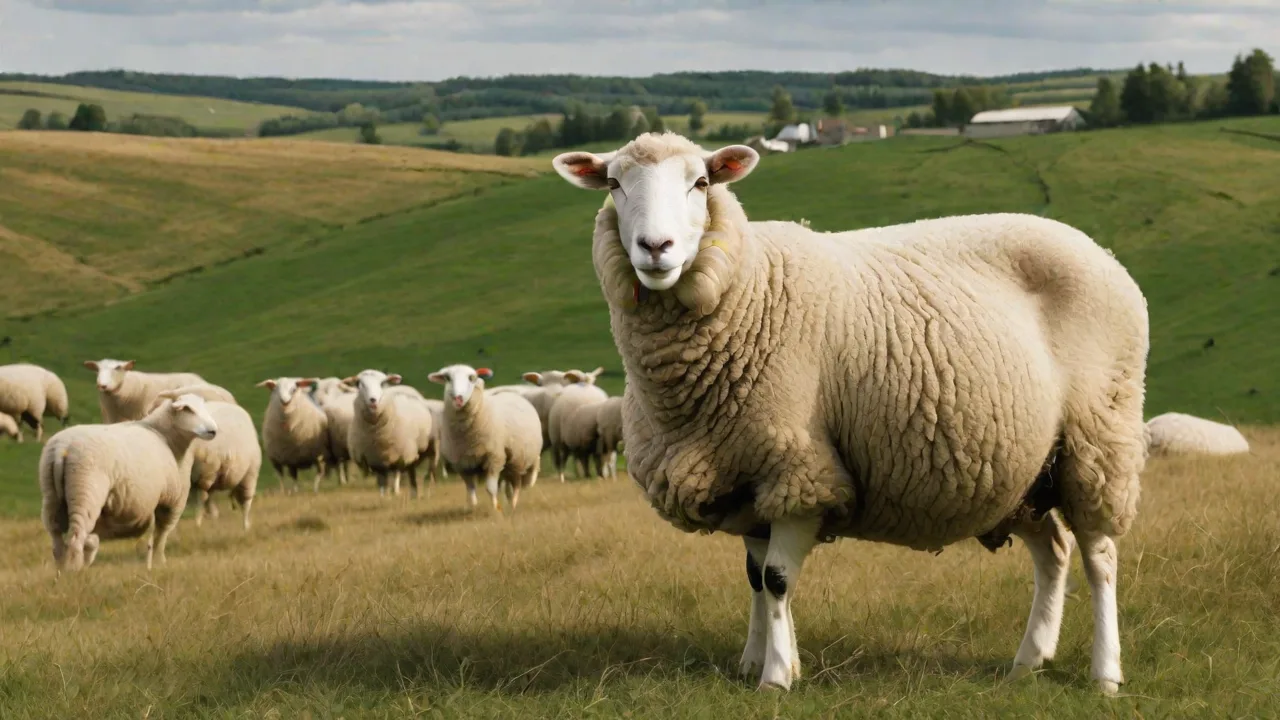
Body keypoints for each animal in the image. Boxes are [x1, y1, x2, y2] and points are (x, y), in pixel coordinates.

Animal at [39, 392, 219, 571]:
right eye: (187, 409)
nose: (213, 431)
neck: (163, 436)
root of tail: (62, 448)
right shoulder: (166, 502)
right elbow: (158, 538)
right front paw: (158, 564)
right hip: (86, 491)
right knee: (76, 537)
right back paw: (76, 571)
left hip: (51, 495)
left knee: (56, 540)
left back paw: (61, 570)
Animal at [150, 388, 261, 531]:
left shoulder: (204, 473)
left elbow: (200, 498)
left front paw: (197, 523)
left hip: (249, 473)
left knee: (245, 501)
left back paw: (245, 526)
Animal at [344, 369, 435, 498]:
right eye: (358, 384)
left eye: (382, 383)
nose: (373, 400)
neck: (376, 434)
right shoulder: (374, 459)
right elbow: (381, 480)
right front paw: (383, 496)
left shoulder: (402, 454)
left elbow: (397, 473)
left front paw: (394, 492)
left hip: (422, 449)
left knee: (416, 470)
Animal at [427, 364, 541, 513]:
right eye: (447, 378)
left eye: (472, 378)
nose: (458, 398)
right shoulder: (462, 464)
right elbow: (470, 491)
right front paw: (472, 508)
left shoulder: (494, 458)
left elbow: (490, 489)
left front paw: (496, 510)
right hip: (509, 463)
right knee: (509, 483)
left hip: (519, 460)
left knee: (517, 485)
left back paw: (513, 504)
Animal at [552, 131, 1150, 694]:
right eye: (614, 183)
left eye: (700, 182)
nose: (656, 247)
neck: (749, 288)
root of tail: (1098, 250)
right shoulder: (746, 474)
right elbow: (754, 576)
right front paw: (757, 661)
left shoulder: (799, 469)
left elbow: (777, 579)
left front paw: (776, 677)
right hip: (1025, 472)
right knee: (1054, 552)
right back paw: (1028, 662)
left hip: (1098, 438)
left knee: (1100, 557)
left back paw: (1105, 674)